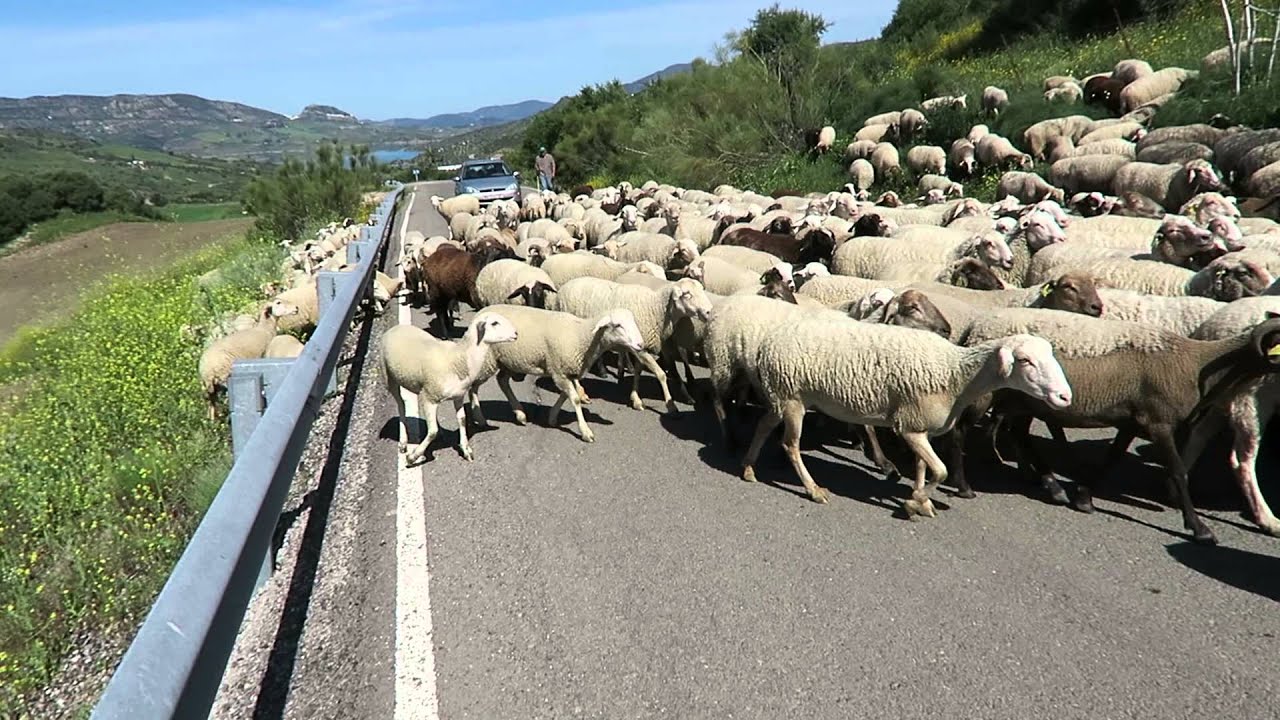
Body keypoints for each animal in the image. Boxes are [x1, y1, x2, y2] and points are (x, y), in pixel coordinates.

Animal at [384, 312, 519, 464]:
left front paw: (466, 450)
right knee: (401, 404)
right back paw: (403, 442)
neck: (458, 359)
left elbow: (462, 420)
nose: (516, 333)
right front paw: (413, 456)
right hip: (389, 377)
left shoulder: (457, 396)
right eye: (494, 323)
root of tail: (396, 327)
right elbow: (432, 431)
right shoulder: (429, 396)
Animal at [469, 304, 646, 442]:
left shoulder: (565, 372)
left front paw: (552, 417)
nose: (640, 344)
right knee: (473, 387)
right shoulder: (559, 371)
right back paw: (480, 418)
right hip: (486, 361)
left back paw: (520, 414)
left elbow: (565, 395)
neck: (581, 336)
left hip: (508, 361)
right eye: (618, 325)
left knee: (502, 381)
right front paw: (586, 432)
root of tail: (480, 313)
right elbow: (575, 399)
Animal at [739, 309, 1071, 512]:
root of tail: (769, 342)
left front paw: (920, 500)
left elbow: (924, 467)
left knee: (763, 425)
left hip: (783, 396)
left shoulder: (920, 428)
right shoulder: (909, 427)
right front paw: (916, 502)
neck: (956, 375)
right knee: (790, 445)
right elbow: (941, 469)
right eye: (1025, 361)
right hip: (792, 399)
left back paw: (748, 468)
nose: (1064, 397)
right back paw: (813, 489)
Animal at [964, 307, 1280, 544]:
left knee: (1017, 433)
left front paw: (1084, 498)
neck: (1197, 364)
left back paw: (1049, 484)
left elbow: (1111, 460)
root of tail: (978, 326)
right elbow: (1177, 471)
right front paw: (1200, 529)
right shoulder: (1158, 422)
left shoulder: (1133, 421)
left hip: (1026, 402)